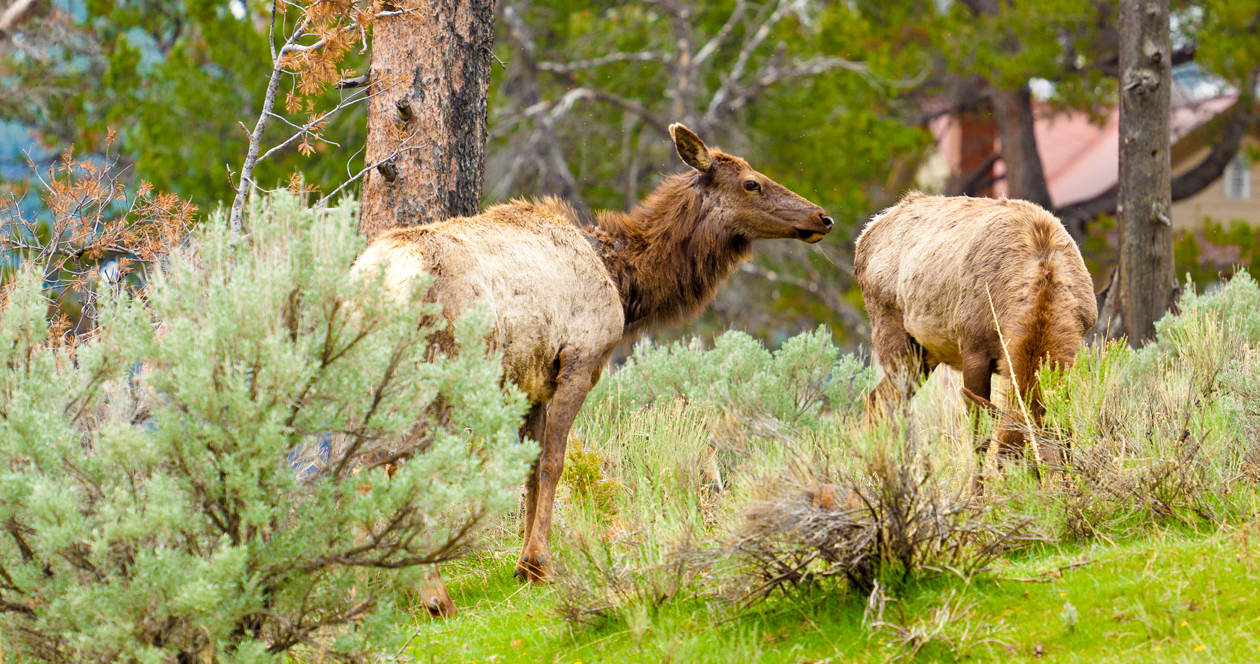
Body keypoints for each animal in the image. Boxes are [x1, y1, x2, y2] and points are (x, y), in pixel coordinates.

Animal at [350, 124, 834, 585]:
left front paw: (521, 563)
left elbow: (529, 469)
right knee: (398, 462)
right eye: (752, 183)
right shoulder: (581, 358)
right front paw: (538, 562)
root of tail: (380, 277)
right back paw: (425, 588)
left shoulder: (531, 381)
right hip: (439, 371)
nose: (823, 216)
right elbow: (554, 462)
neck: (625, 282)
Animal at [853, 192, 1097, 467]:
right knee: (890, 404)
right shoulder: (973, 348)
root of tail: (864, 236)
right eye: (1001, 465)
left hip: (925, 354)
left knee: (877, 400)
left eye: (1036, 464)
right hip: (891, 335)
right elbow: (978, 440)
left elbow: (1067, 431)